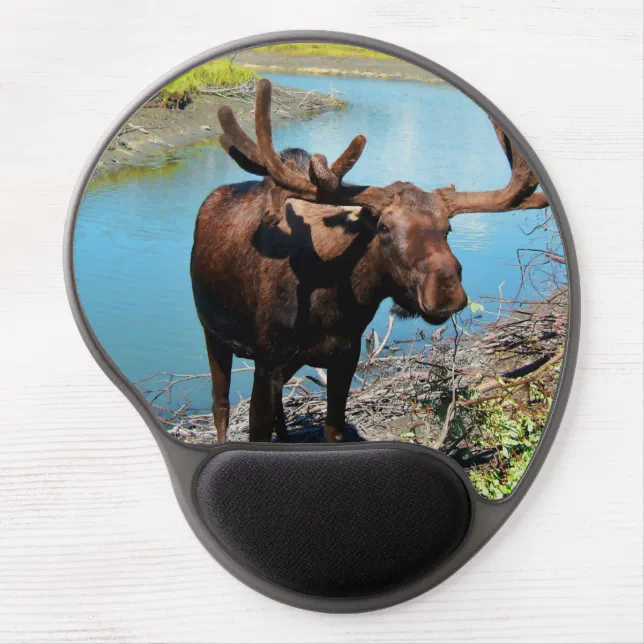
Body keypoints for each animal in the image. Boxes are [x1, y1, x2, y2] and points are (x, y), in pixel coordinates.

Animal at [190, 79, 548, 444]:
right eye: (384, 227)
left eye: (447, 228)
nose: (446, 291)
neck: (333, 303)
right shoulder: (267, 362)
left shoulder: (345, 357)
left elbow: (333, 429)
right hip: (213, 333)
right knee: (220, 405)